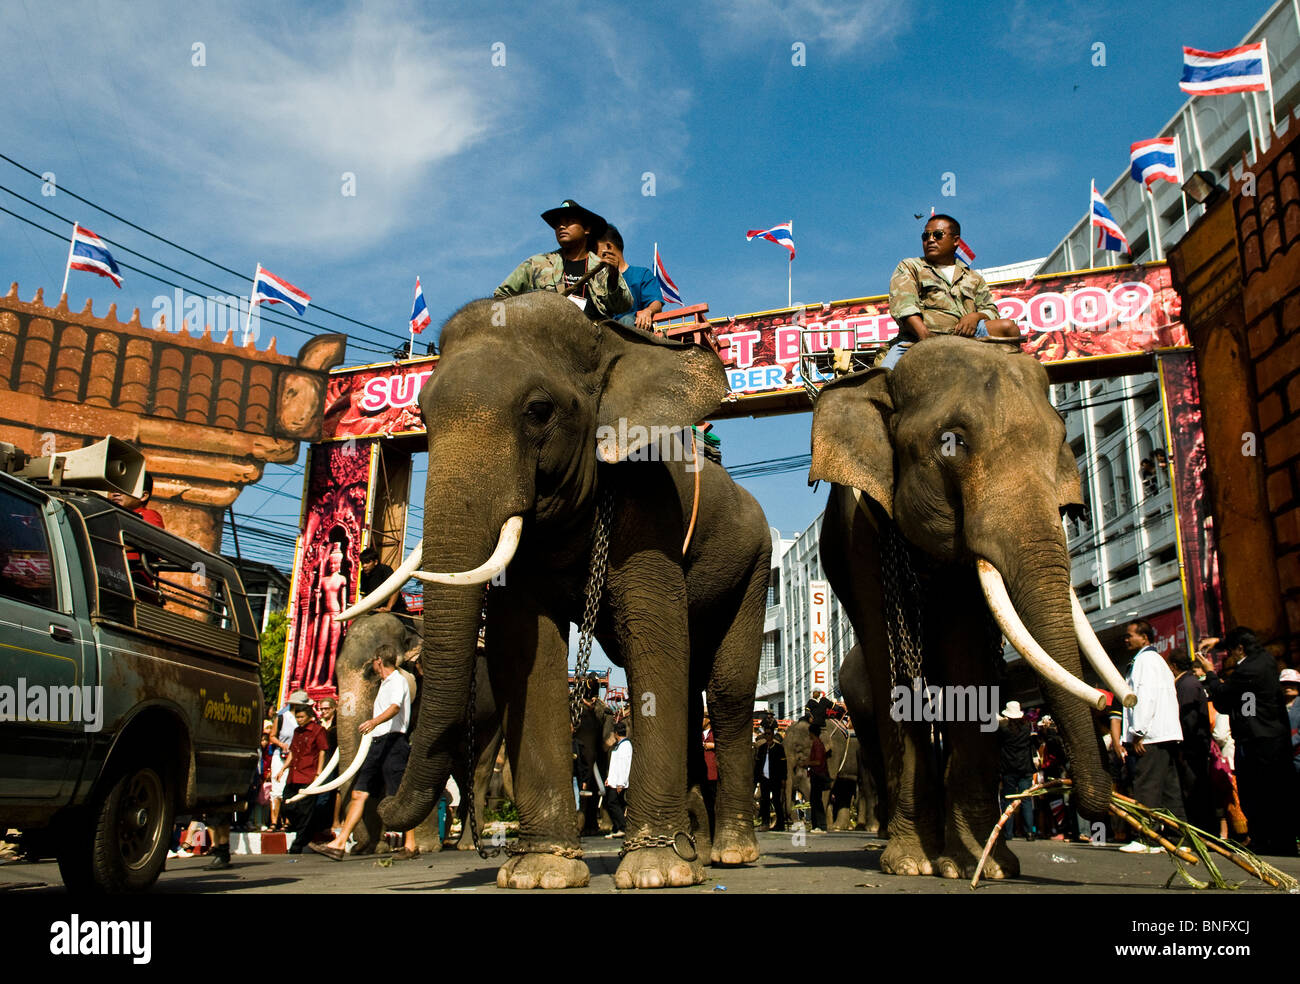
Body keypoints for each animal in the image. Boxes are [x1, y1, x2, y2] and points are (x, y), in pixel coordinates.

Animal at [351, 293, 772, 890]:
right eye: (424, 417)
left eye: (538, 411)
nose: (385, 809)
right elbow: (525, 651)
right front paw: (539, 872)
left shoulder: (650, 507)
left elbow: (654, 644)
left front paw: (655, 872)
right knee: (692, 686)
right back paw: (698, 846)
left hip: (755, 561)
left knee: (729, 690)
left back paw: (730, 853)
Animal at [809, 336, 1128, 880]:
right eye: (951, 441)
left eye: (1061, 440)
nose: (1116, 702)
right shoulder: (861, 535)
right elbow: (891, 662)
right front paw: (912, 864)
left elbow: (968, 655)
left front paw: (985, 864)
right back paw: (886, 838)